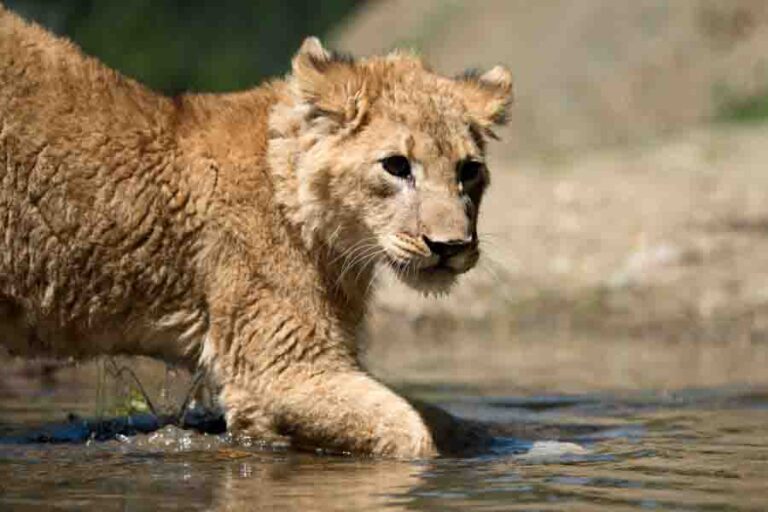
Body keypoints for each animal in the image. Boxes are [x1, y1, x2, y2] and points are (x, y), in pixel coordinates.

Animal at [0, 5, 512, 457]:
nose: (450, 246)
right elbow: (412, 433)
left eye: (468, 171)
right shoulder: (282, 371)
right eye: (396, 166)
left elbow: (452, 423)